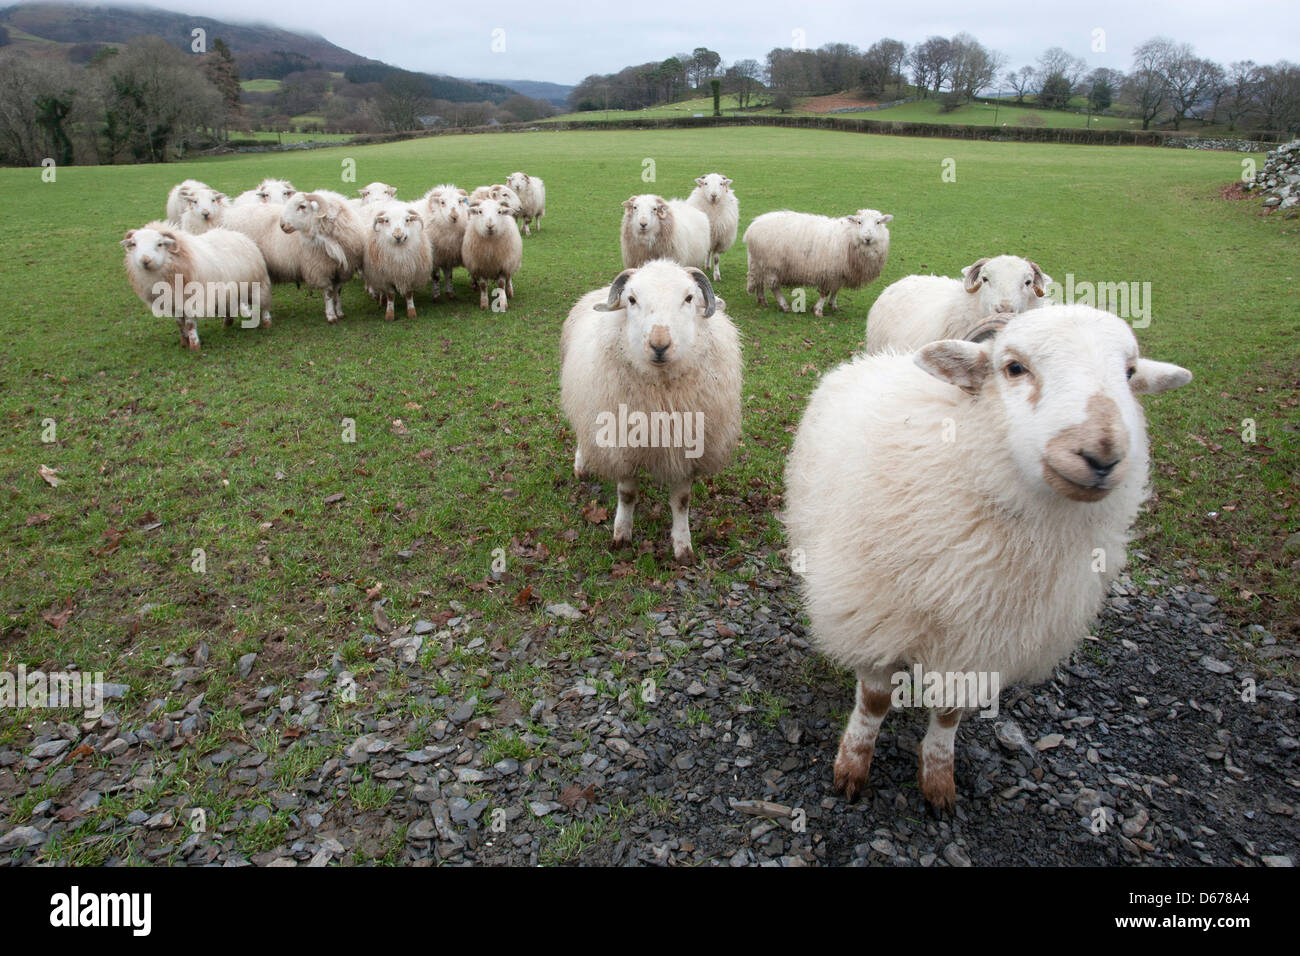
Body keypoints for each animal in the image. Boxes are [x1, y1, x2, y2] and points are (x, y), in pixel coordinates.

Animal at [121, 221, 272, 351]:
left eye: (159, 244)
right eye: (134, 244)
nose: (145, 260)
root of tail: (241, 235)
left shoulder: (191, 301)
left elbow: (189, 324)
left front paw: (194, 345)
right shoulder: (173, 303)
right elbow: (179, 324)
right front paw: (184, 342)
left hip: (257, 284)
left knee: (264, 305)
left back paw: (266, 323)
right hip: (229, 291)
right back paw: (226, 324)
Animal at [278, 190, 367, 323]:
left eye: (302, 206)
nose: (282, 225)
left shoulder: (341, 271)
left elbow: (338, 292)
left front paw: (339, 312)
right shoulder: (321, 270)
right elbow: (329, 293)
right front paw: (331, 316)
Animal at [560, 260, 742, 563]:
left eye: (689, 298)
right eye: (632, 300)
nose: (659, 346)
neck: (661, 393)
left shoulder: (686, 449)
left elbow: (681, 501)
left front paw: (683, 547)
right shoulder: (623, 445)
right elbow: (627, 494)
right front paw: (622, 535)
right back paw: (581, 466)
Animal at [744, 208, 892, 317]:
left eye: (878, 222)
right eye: (859, 222)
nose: (867, 238)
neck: (848, 238)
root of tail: (753, 226)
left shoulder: (840, 273)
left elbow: (836, 289)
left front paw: (833, 305)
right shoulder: (829, 272)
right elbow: (825, 292)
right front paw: (818, 310)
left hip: (759, 262)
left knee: (759, 281)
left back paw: (762, 300)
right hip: (771, 264)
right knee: (773, 286)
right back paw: (784, 306)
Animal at [782, 305, 1191, 810]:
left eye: (1130, 373)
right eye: (1014, 367)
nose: (1101, 454)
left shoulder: (984, 642)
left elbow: (950, 712)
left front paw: (939, 781)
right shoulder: (875, 618)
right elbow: (874, 702)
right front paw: (853, 766)